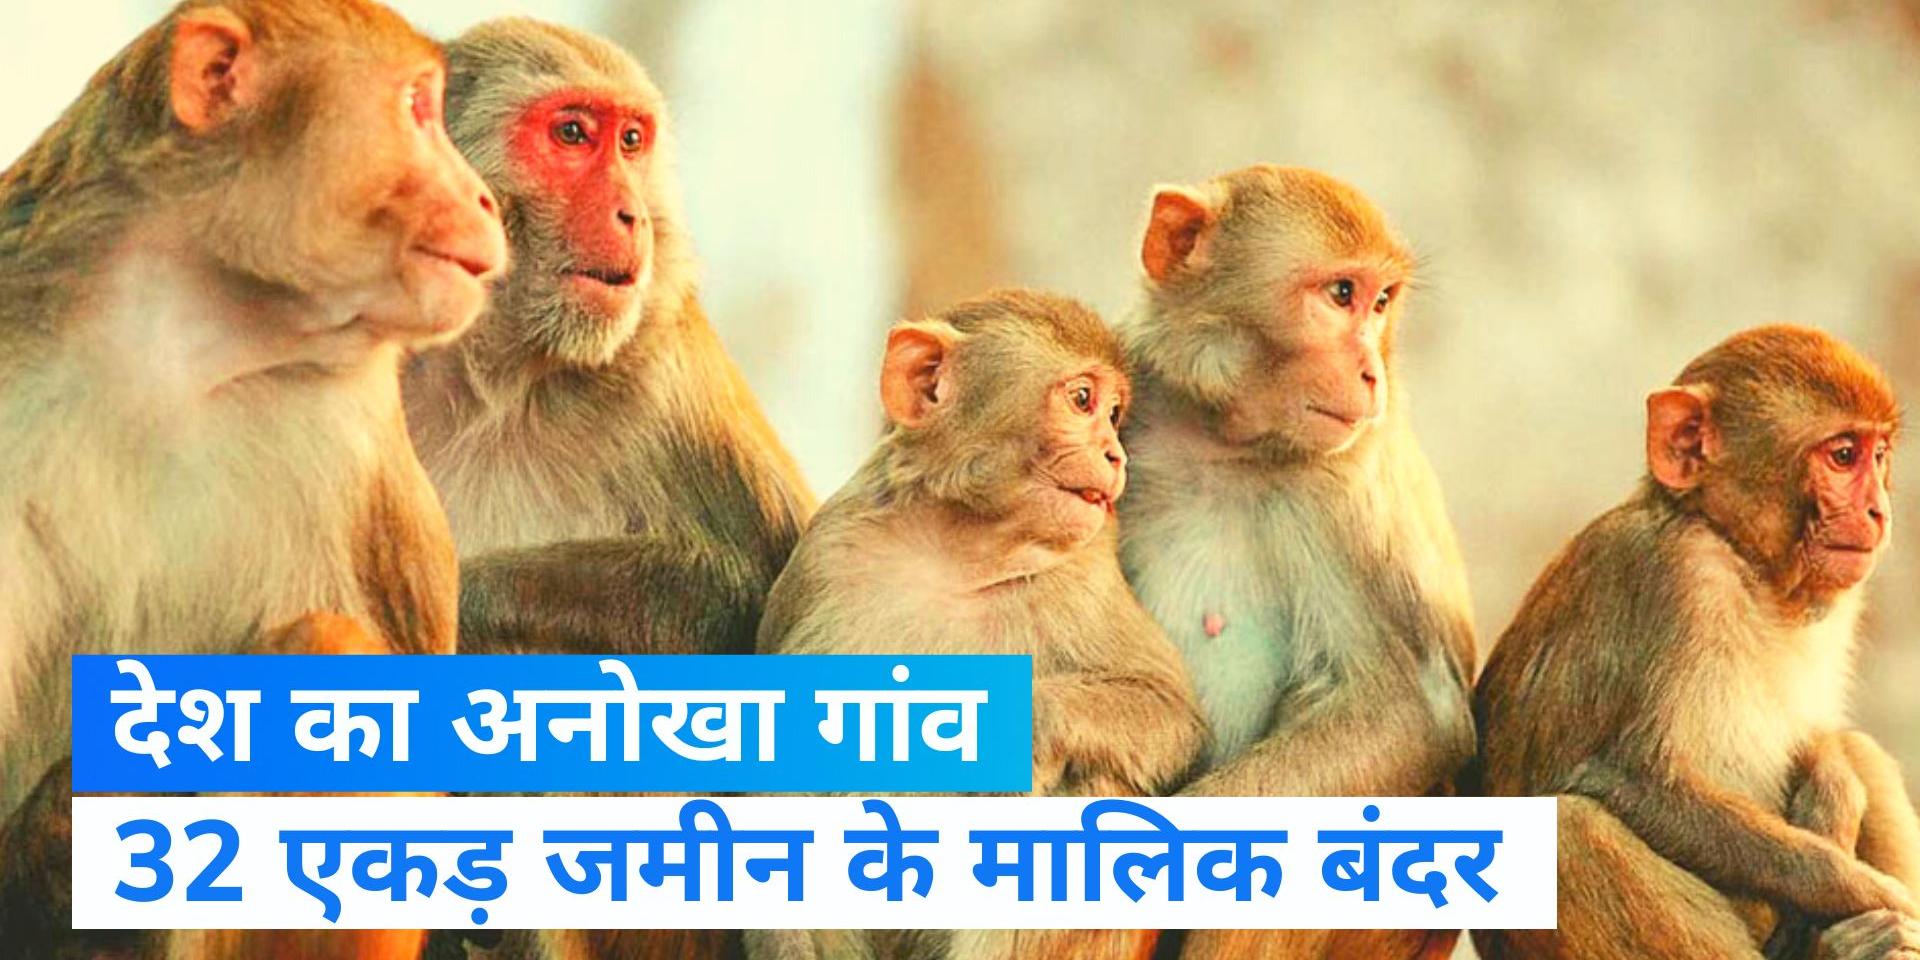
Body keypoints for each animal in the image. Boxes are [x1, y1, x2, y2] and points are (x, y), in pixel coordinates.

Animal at [402, 18, 813, 662]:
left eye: (631, 140)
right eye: (572, 133)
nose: (632, 215)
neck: (493, 386)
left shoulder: (670, 382)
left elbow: (745, 588)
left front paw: (471, 592)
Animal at [748, 289, 1208, 960]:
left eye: (1115, 413)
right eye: (1083, 401)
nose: (1115, 454)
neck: (961, 552)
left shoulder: (1086, 574)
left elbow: (1170, 714)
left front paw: (1021, 725)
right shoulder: (826, 560)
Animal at [1110, 165, 1476, 960]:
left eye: (1380, 301)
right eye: (1341, 294)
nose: (1371, 374)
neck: (1222, 441)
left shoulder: (1338, 489)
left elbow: (1410, 713)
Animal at [1471, 325, 1920, 960]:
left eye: (1877, 456)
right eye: (1842, 456)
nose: (1879, 511)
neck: (1742, 560)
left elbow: (1823, 740)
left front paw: (1833, 795)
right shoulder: (1680, 576)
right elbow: (1634, 777)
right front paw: (1857, 887)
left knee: (1866, 754)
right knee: (1568, 836)